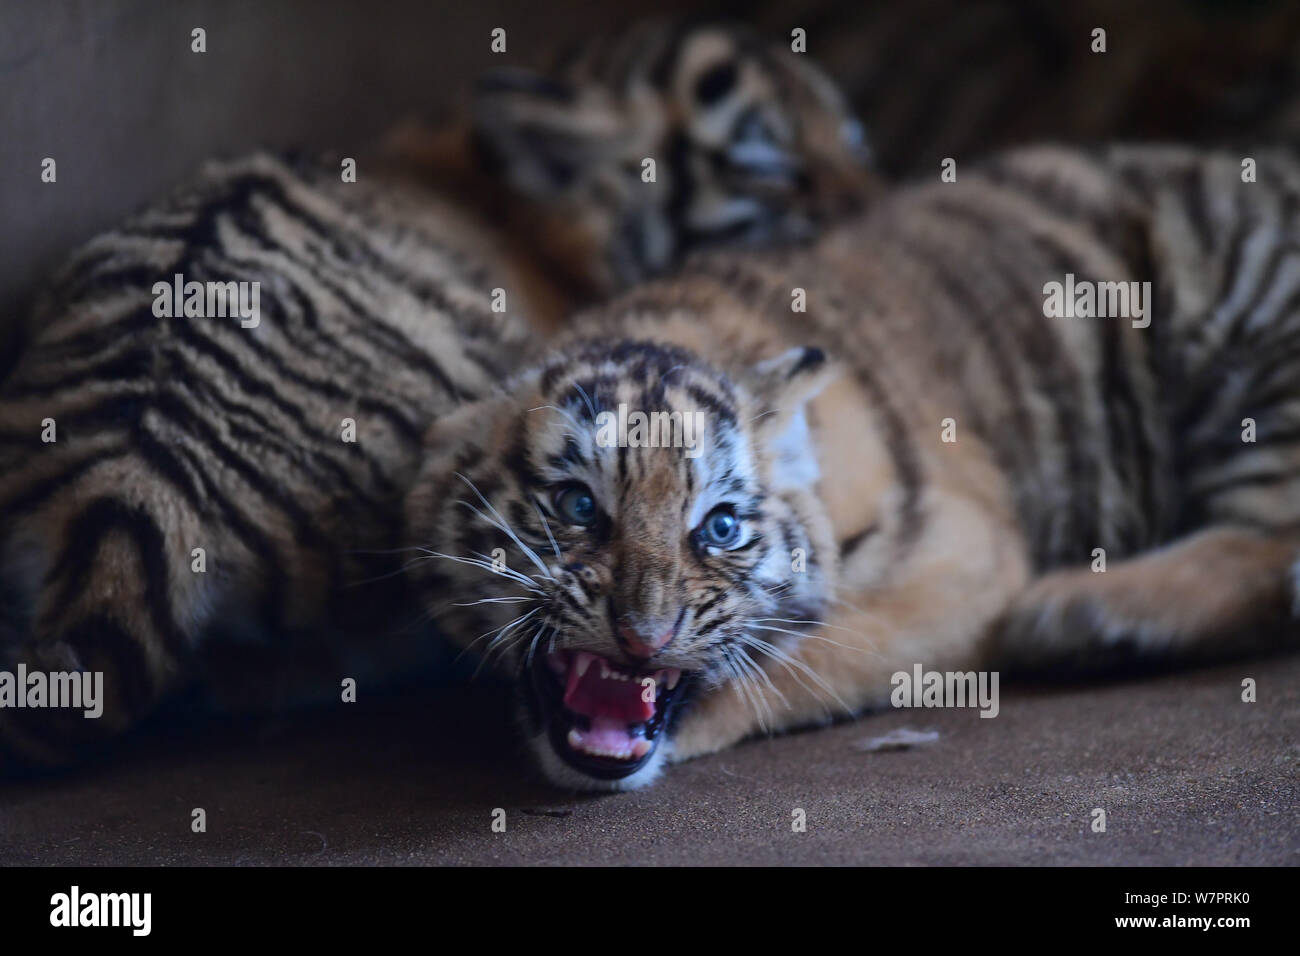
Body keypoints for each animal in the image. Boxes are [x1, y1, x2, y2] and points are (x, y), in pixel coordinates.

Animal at [406, 142, 1300, 790]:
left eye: (719, 527)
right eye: (577, 506)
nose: (642, 638)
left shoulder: (960, 556)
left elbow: (815, 652)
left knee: (1272, 538)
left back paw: (1081, 614)